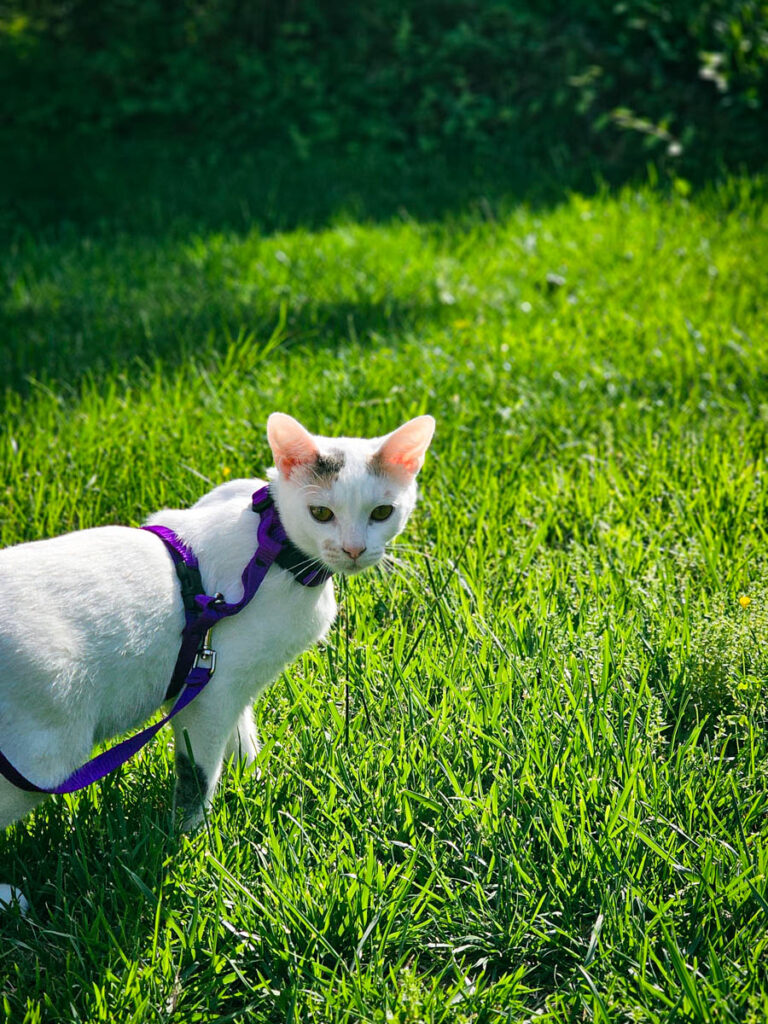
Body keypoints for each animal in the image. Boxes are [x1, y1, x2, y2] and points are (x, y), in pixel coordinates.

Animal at [0, 411, 434, 909]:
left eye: (382, 512)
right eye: (321, 513)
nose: (354, 550)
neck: (274, 547)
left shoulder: (221, 678)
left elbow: (242, 735)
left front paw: (257, 783)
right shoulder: (209, 694)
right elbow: (199, 775)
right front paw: (191, 840)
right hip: (44, 755)